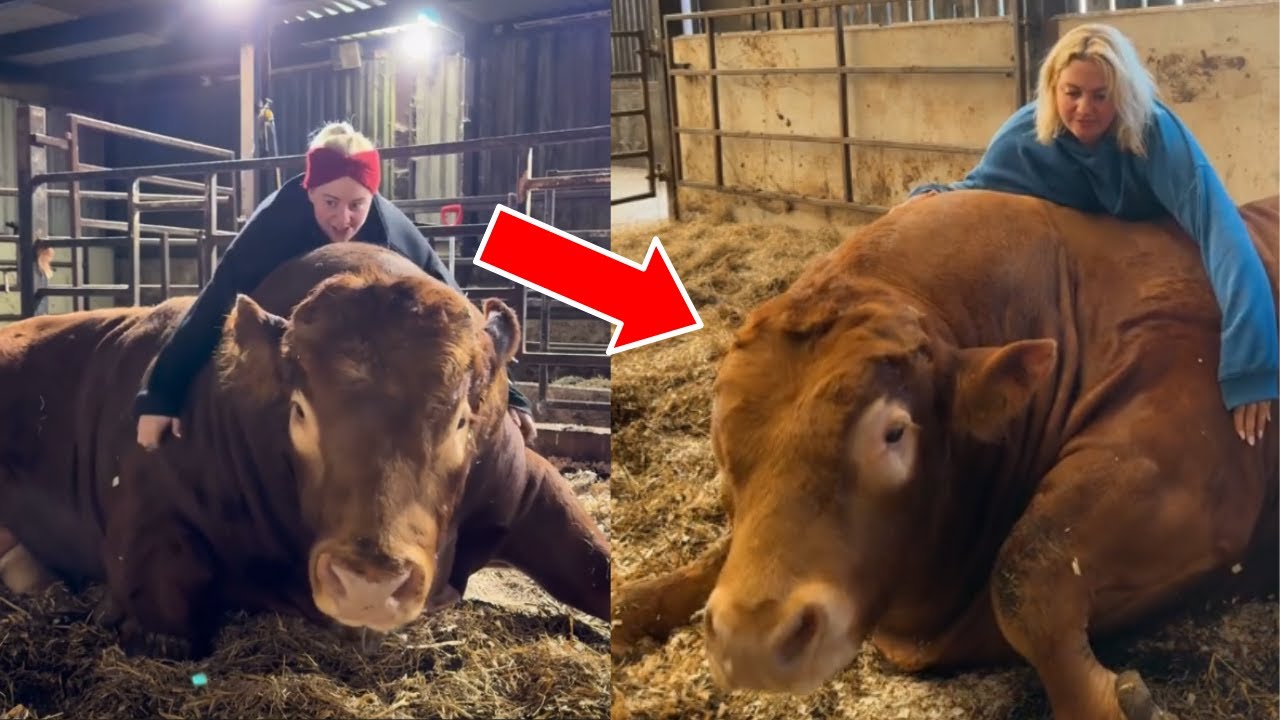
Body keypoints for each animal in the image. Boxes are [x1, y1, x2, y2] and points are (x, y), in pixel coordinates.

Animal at [0, 241, 610, 658]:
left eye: (461, 419)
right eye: (298, 411)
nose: (369, 584)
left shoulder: (524, 481)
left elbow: (594, 562)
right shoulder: (149, 509)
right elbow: (167, 617)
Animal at [611, 191, 1279, 720]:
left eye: (894, 433)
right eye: (720, 439)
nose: (753, 639)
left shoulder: (1192, 462)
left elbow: (1027, 570)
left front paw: (1109, 704)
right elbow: (703, 565)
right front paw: (627, 605)